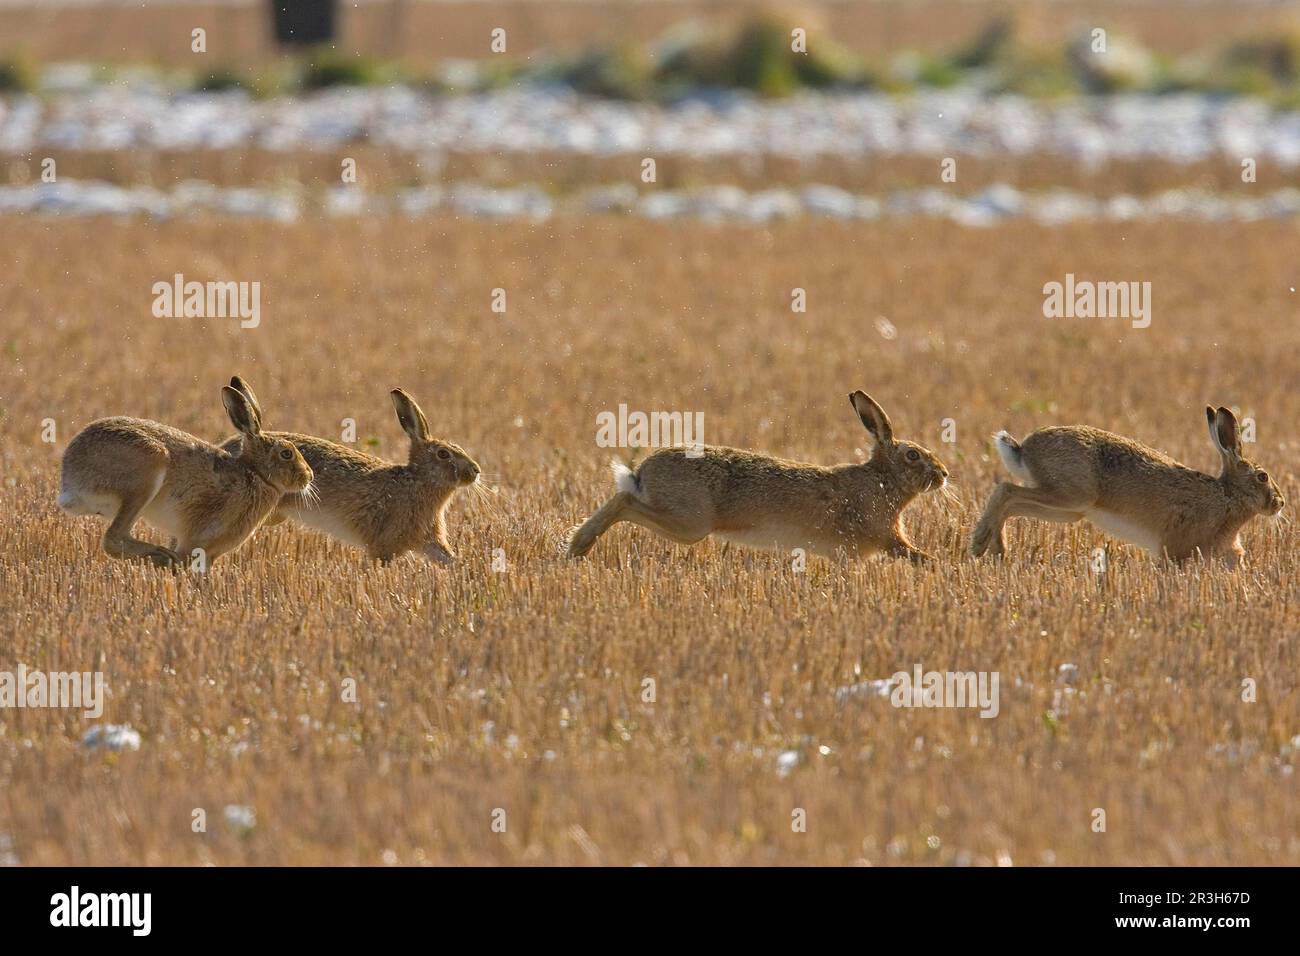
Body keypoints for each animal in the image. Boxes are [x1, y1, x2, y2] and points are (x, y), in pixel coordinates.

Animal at [58, 380, 313, 569]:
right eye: (287, 453)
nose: (308, 476)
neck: (256, 474)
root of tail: (69, 481)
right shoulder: (198, 541)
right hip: (146, 473)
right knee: (113, 538)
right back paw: (160, 555)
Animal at [219, 378, 480, 564]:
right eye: (443, 454)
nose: (475, 471)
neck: (419, 480)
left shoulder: (429, 540)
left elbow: (447, 558)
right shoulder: (384, 546)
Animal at [566, 390, 949, 562]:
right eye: (913, 455)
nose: (944, 474)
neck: (884, 479)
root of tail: (643, 470)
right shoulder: (887, 538)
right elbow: (915, 556)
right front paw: (942, 567)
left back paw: (576, 547)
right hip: (689, 524)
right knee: (625, 501)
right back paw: (579, 545)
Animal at [970, 405, 1285, 566]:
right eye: (1262, 477)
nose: (1280, 503)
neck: (1228, 496)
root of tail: (1024, 449)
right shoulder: (1177, 549)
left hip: (1067, 510)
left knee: (1011, 502)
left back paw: (997, 550)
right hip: (1071, 496)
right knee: (1006, 491)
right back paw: (980, 543)